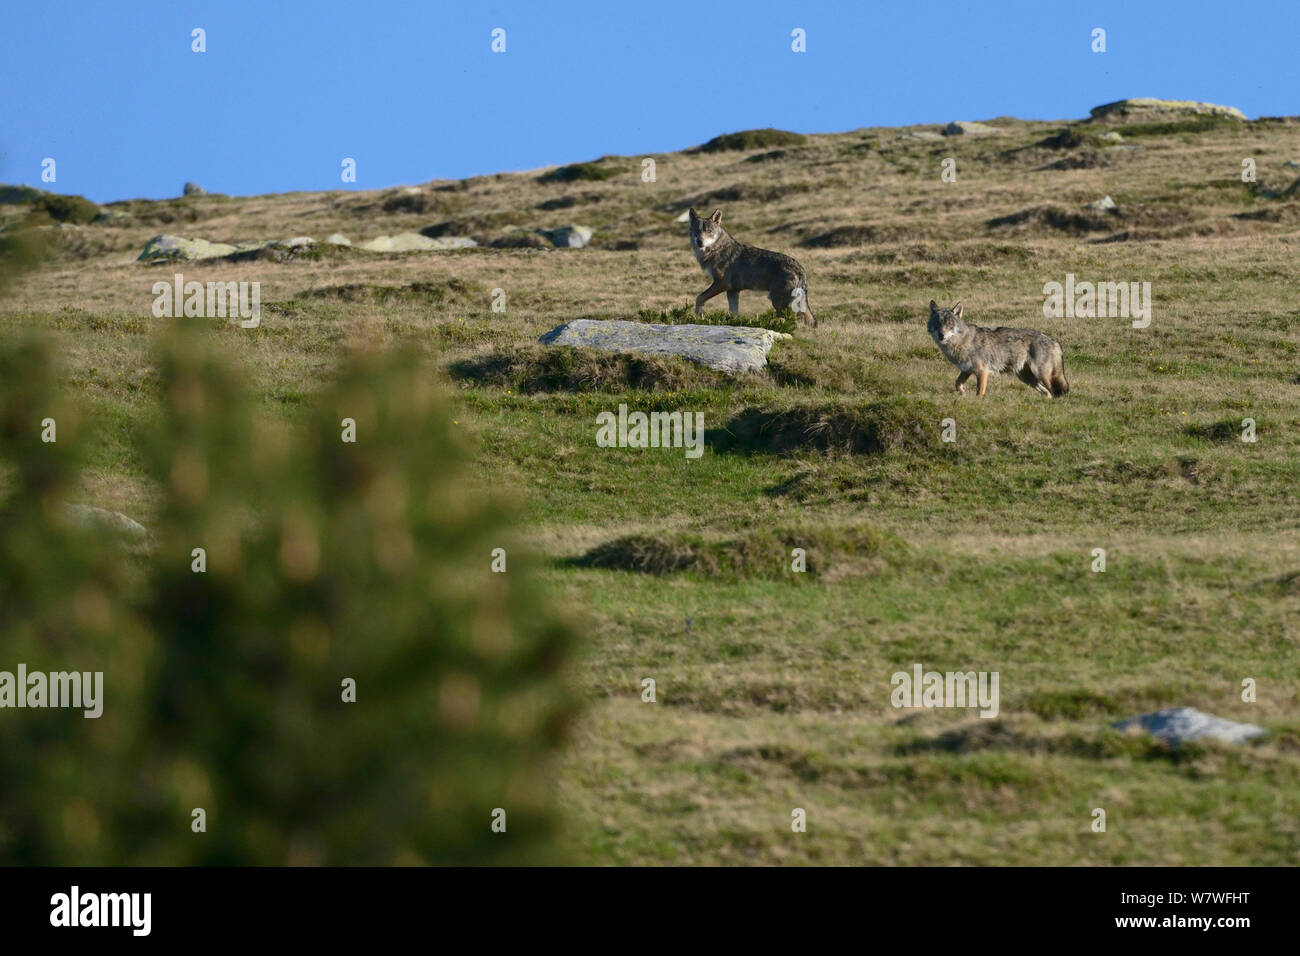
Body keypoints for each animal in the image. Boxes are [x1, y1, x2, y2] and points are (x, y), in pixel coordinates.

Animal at [927, 300, 1069, 397]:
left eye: (949, 324)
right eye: (937, 324)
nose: (941, 335)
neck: (962, 342)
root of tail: (1055, 342)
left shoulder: (982, 371)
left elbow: (979, 392)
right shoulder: (966, 370)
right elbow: (957, 384)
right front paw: (963, 393)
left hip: (1040, 374)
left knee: (1054, 391)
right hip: (1028, 379)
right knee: (1048, 393)